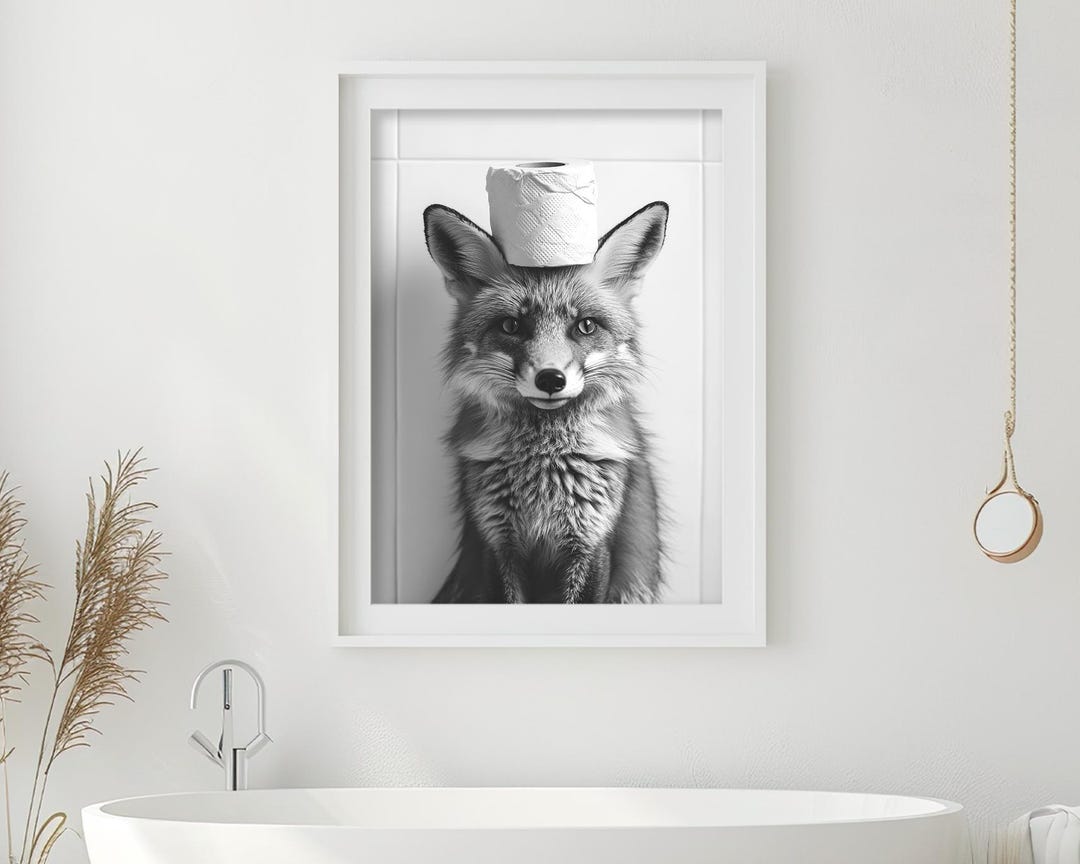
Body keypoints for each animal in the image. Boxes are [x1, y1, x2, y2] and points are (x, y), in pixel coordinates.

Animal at [423, 200, 669, 604]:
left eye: (586, 326)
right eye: (511, 326)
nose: (551, 379)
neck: (545, 460)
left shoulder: (591, 542)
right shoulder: (498, 543)